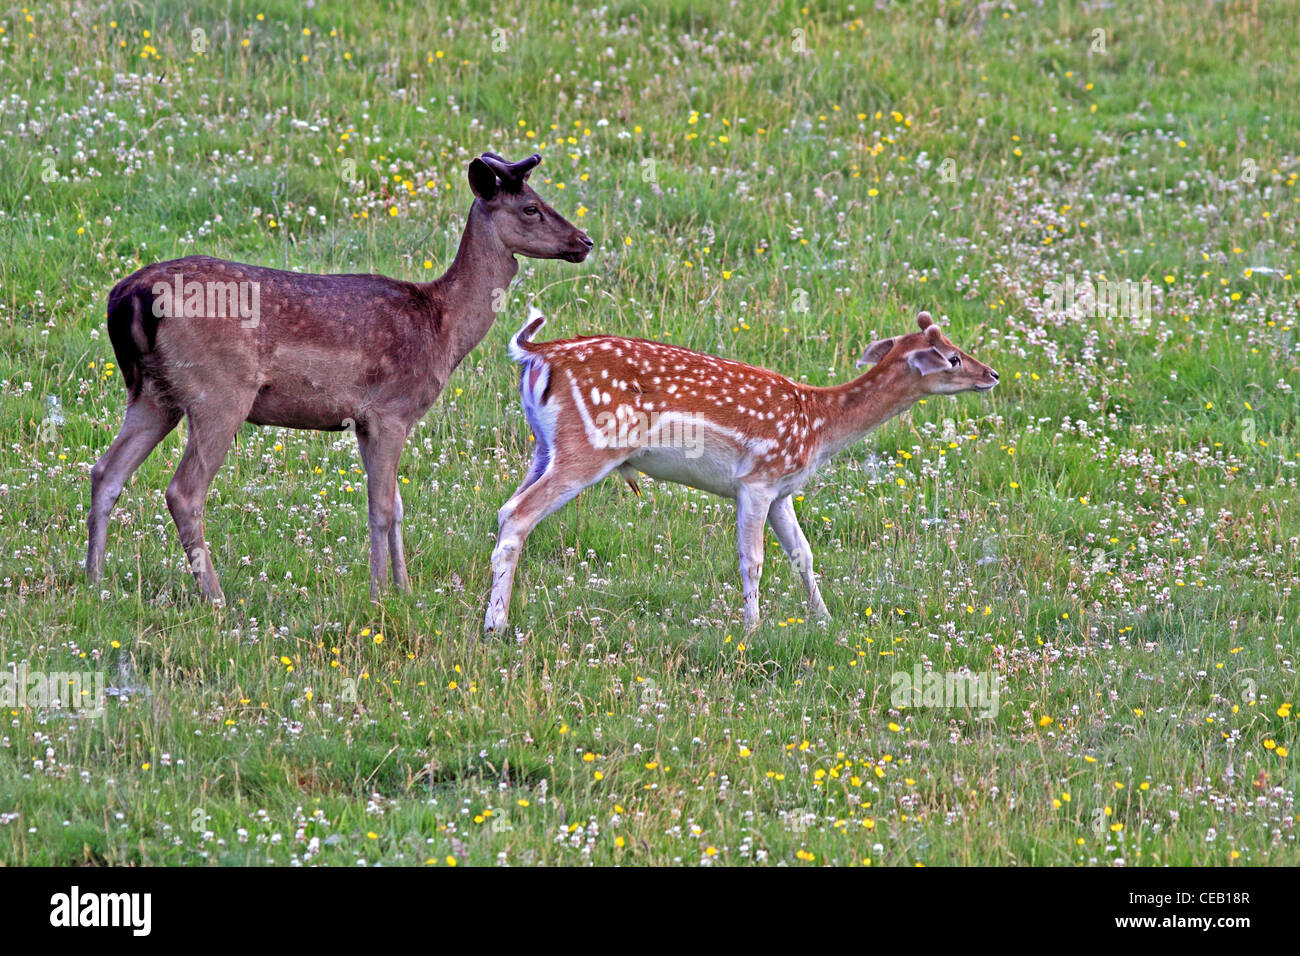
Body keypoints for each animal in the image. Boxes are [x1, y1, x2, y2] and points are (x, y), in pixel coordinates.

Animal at [87, 152, 592, 603]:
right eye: (530, 207)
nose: (584, 241)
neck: (442, 330)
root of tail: (127, 296)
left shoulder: (365, 422)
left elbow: (398, 506)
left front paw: (405, 590)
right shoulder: (391, 411)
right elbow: (382, 508)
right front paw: (378, 594)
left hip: (152, 393)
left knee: (106, 471)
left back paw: (95, 581)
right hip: (220, 393)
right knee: (183, 491)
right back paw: (215, 596)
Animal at [483, 309, 998, 634]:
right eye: (952, 357)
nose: (991, 374)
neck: (819, 427)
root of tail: (537, 354)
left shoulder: (784, 490)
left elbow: (803, 554)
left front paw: (825, 620)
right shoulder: (756, 480)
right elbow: (753, 559)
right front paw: (753, 627)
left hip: (544, 447)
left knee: (507, 507)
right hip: (587, 447)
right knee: (519, 514)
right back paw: (497, 625)